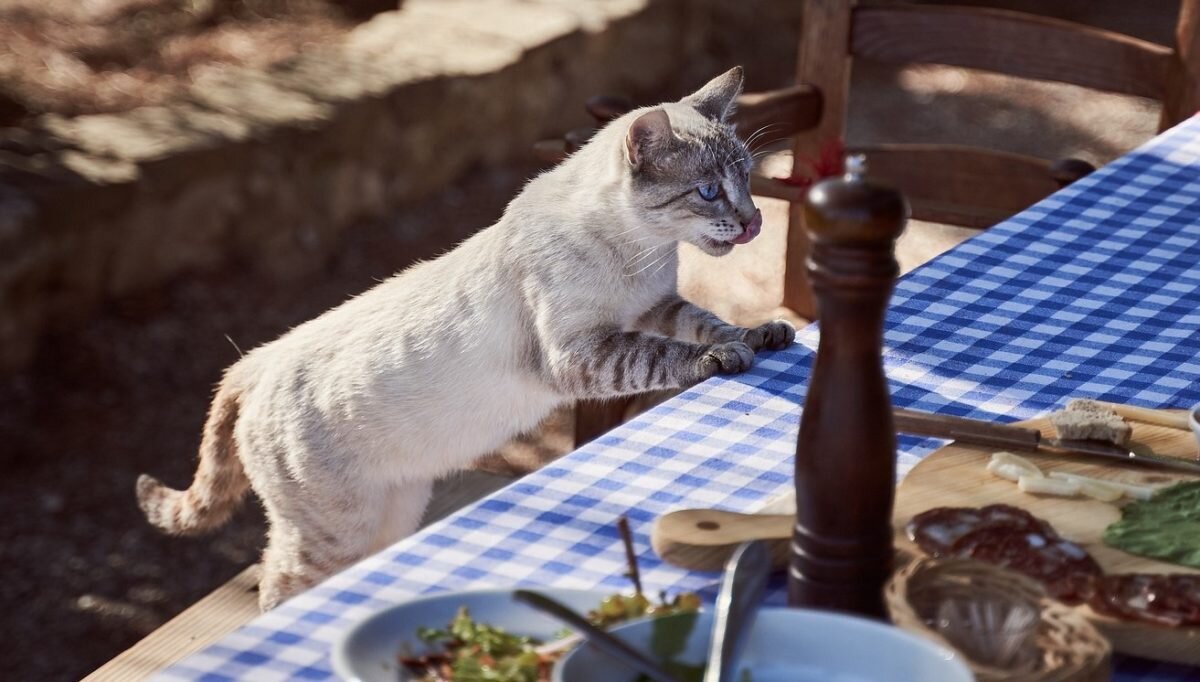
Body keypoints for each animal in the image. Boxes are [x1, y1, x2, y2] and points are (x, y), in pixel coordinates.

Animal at [136, 66, 792, 609]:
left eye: (748, 178)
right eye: (707, 191)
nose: (755, 220)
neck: (641, 253)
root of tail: (258, 359)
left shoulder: (655, 306)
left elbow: (705, 320)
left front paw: (762, 333)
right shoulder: (581, 352)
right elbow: (670, 354)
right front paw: (722, 357)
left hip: (392, 513)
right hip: (334, 531)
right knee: (276, 586)